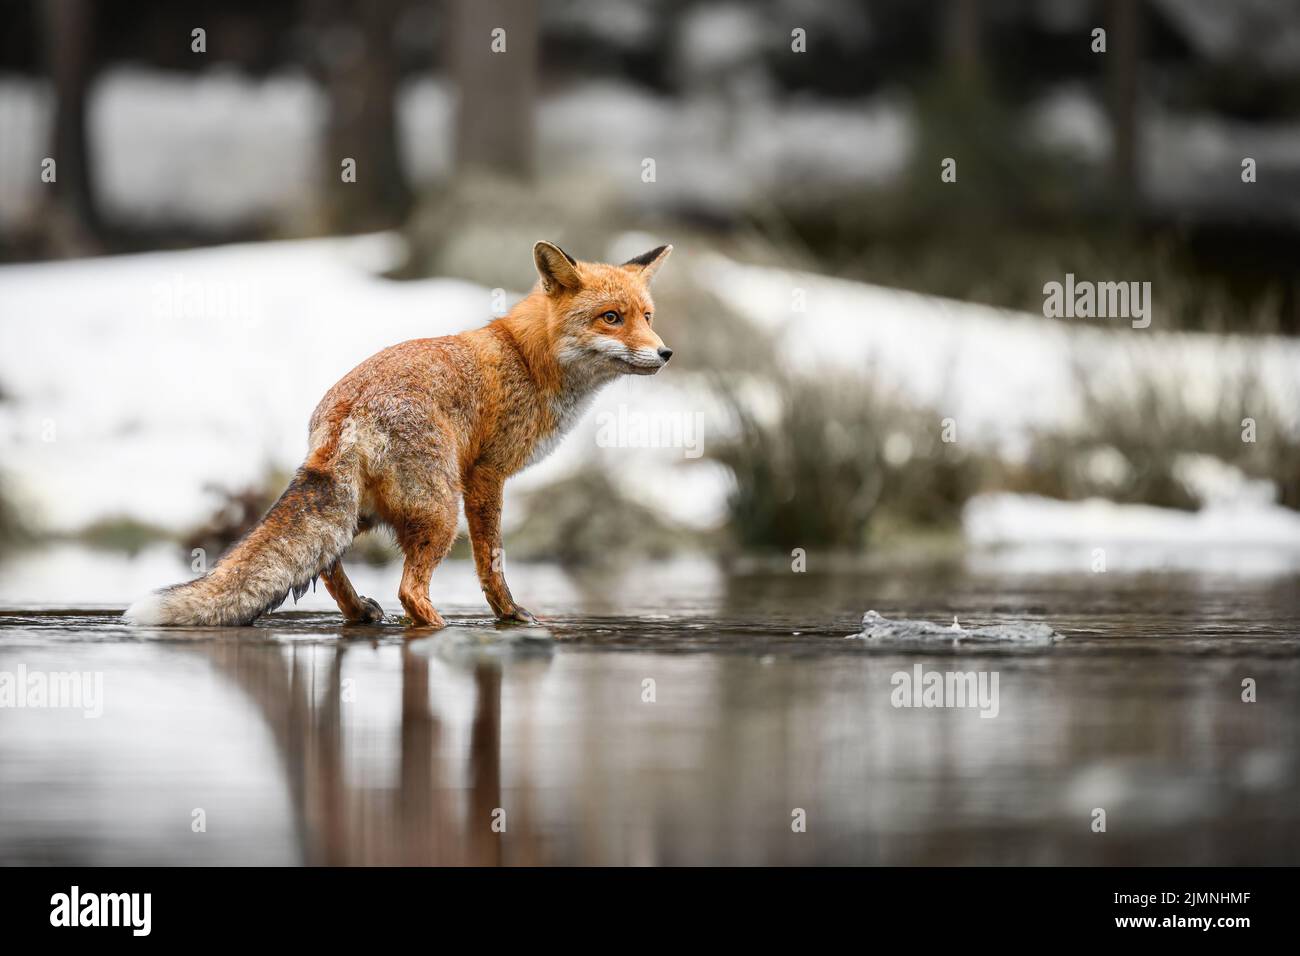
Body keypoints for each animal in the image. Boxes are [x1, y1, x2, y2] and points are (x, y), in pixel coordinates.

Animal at [124, 240, 673, 629]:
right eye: (611, 318)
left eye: (647, 316)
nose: (666, 353)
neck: (528, 359)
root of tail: (345, 410)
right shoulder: (487, 477)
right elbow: (491, 563)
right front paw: (510, 615)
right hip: (441, 513)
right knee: (407, 589)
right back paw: (437, 627)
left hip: (364, 513)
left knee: (324, 564)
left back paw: (360, 613)